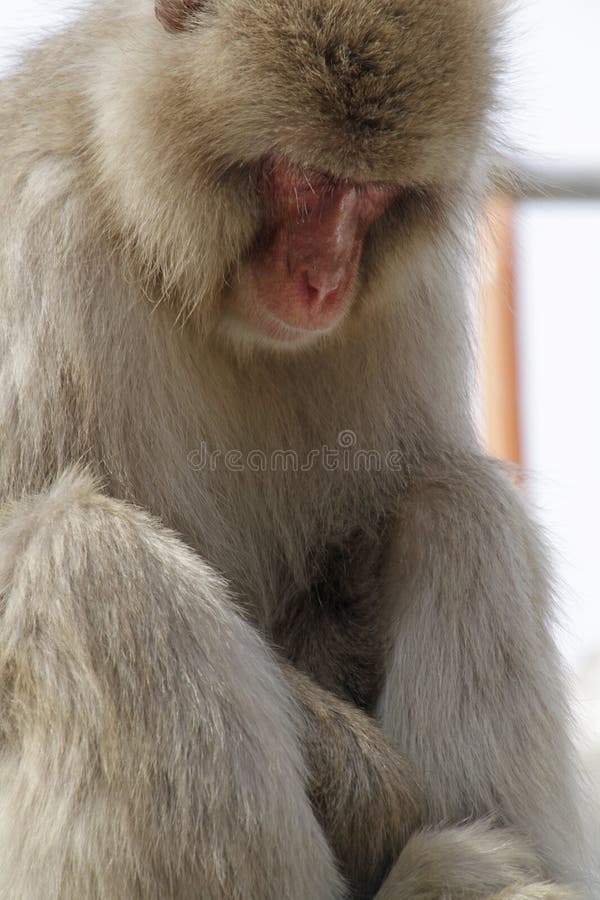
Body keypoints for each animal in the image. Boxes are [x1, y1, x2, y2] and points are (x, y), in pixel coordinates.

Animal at [0, 0, 596, 896]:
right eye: (306, 177)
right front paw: (366, 783)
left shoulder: (405, 304)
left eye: (375, 193)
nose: (326, 279)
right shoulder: (40, 241)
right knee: (88, 557)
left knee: (458, 505)